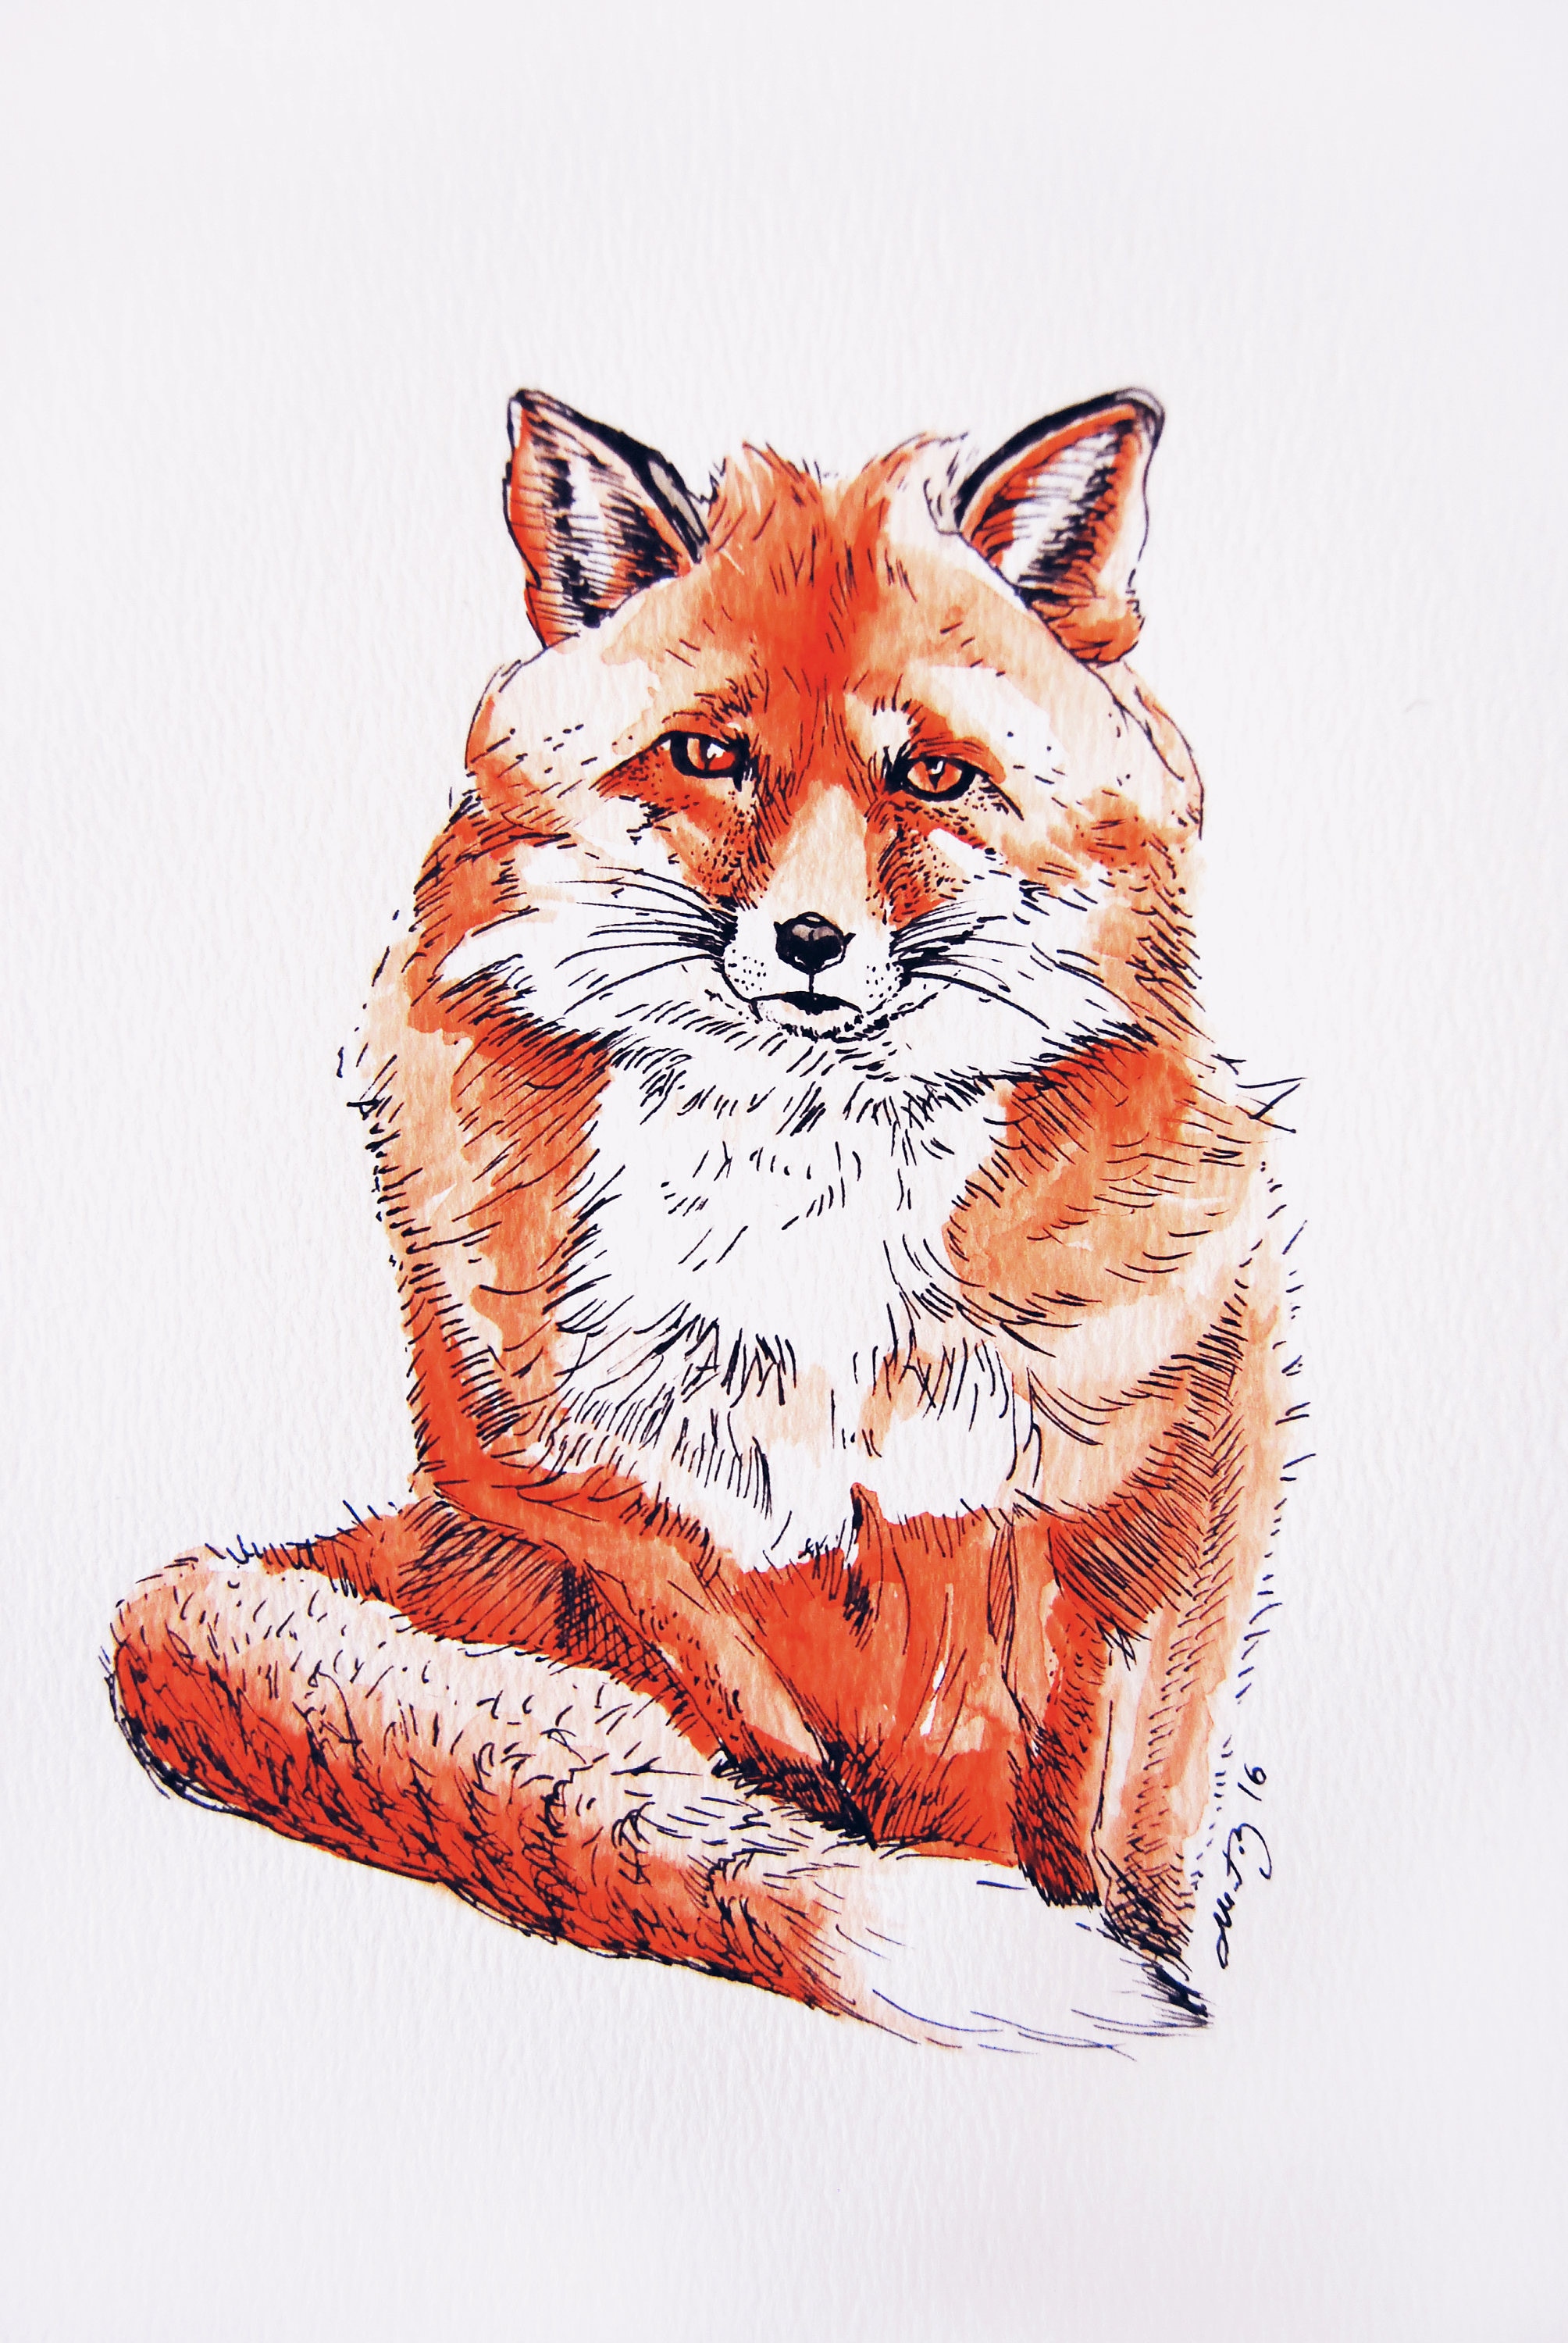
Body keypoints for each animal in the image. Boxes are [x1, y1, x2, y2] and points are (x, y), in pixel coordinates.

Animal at [110, 387, 1297, 2050]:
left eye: (933, 778)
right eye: (709, 756)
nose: (807, 942)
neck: (806, 1257)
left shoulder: (1167, 1448)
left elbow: (1134, 1814)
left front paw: (1167, 1964)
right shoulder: (588, 1514)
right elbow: (752, 1764)